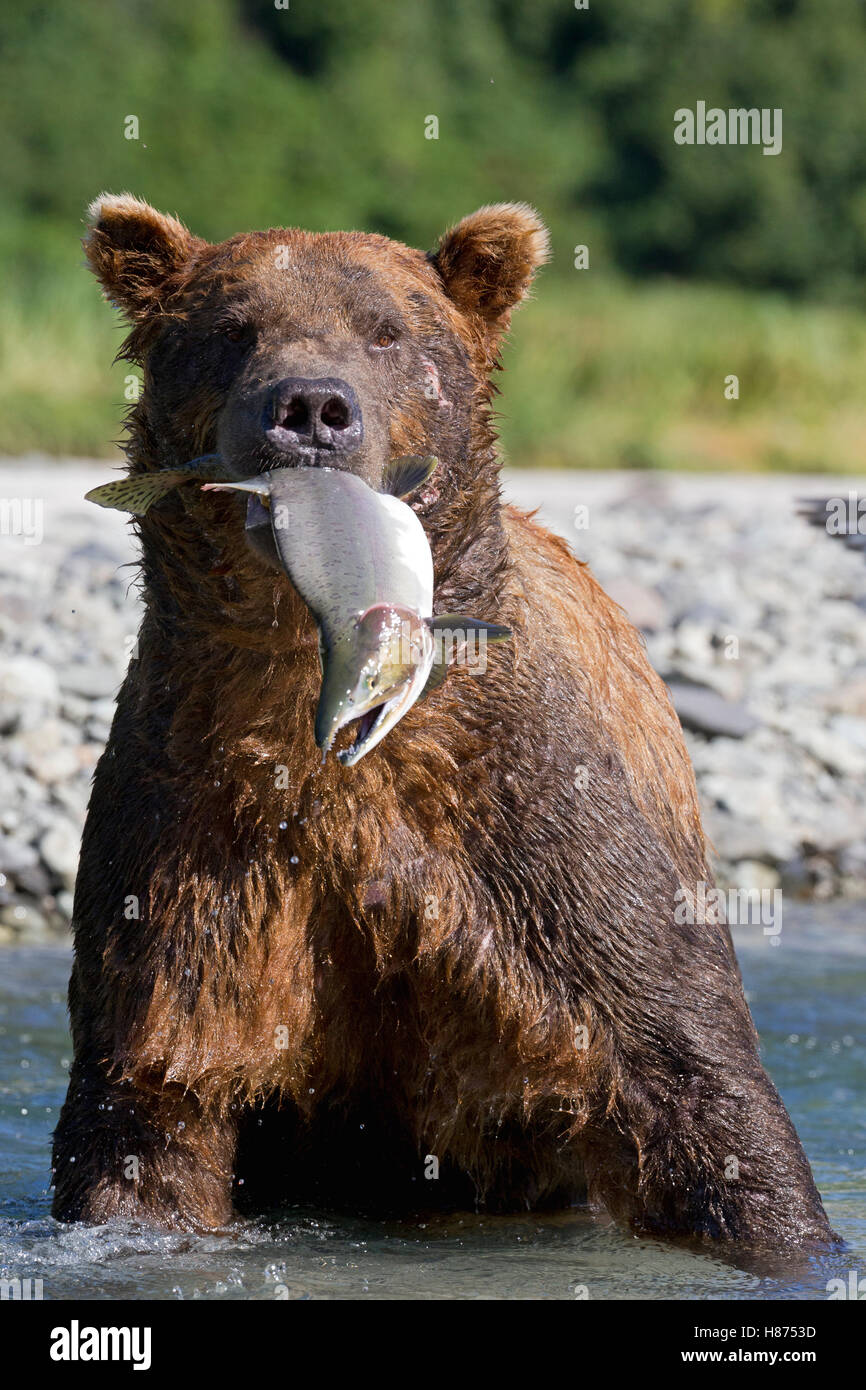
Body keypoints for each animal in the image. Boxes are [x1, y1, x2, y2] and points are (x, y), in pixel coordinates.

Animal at [52, 194, 834, 1247]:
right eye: (230, 330)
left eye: (386, 331)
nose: (311, 408)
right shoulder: (192, 837)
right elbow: (149, 1098)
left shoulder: (526, 823)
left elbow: (690, 1077)